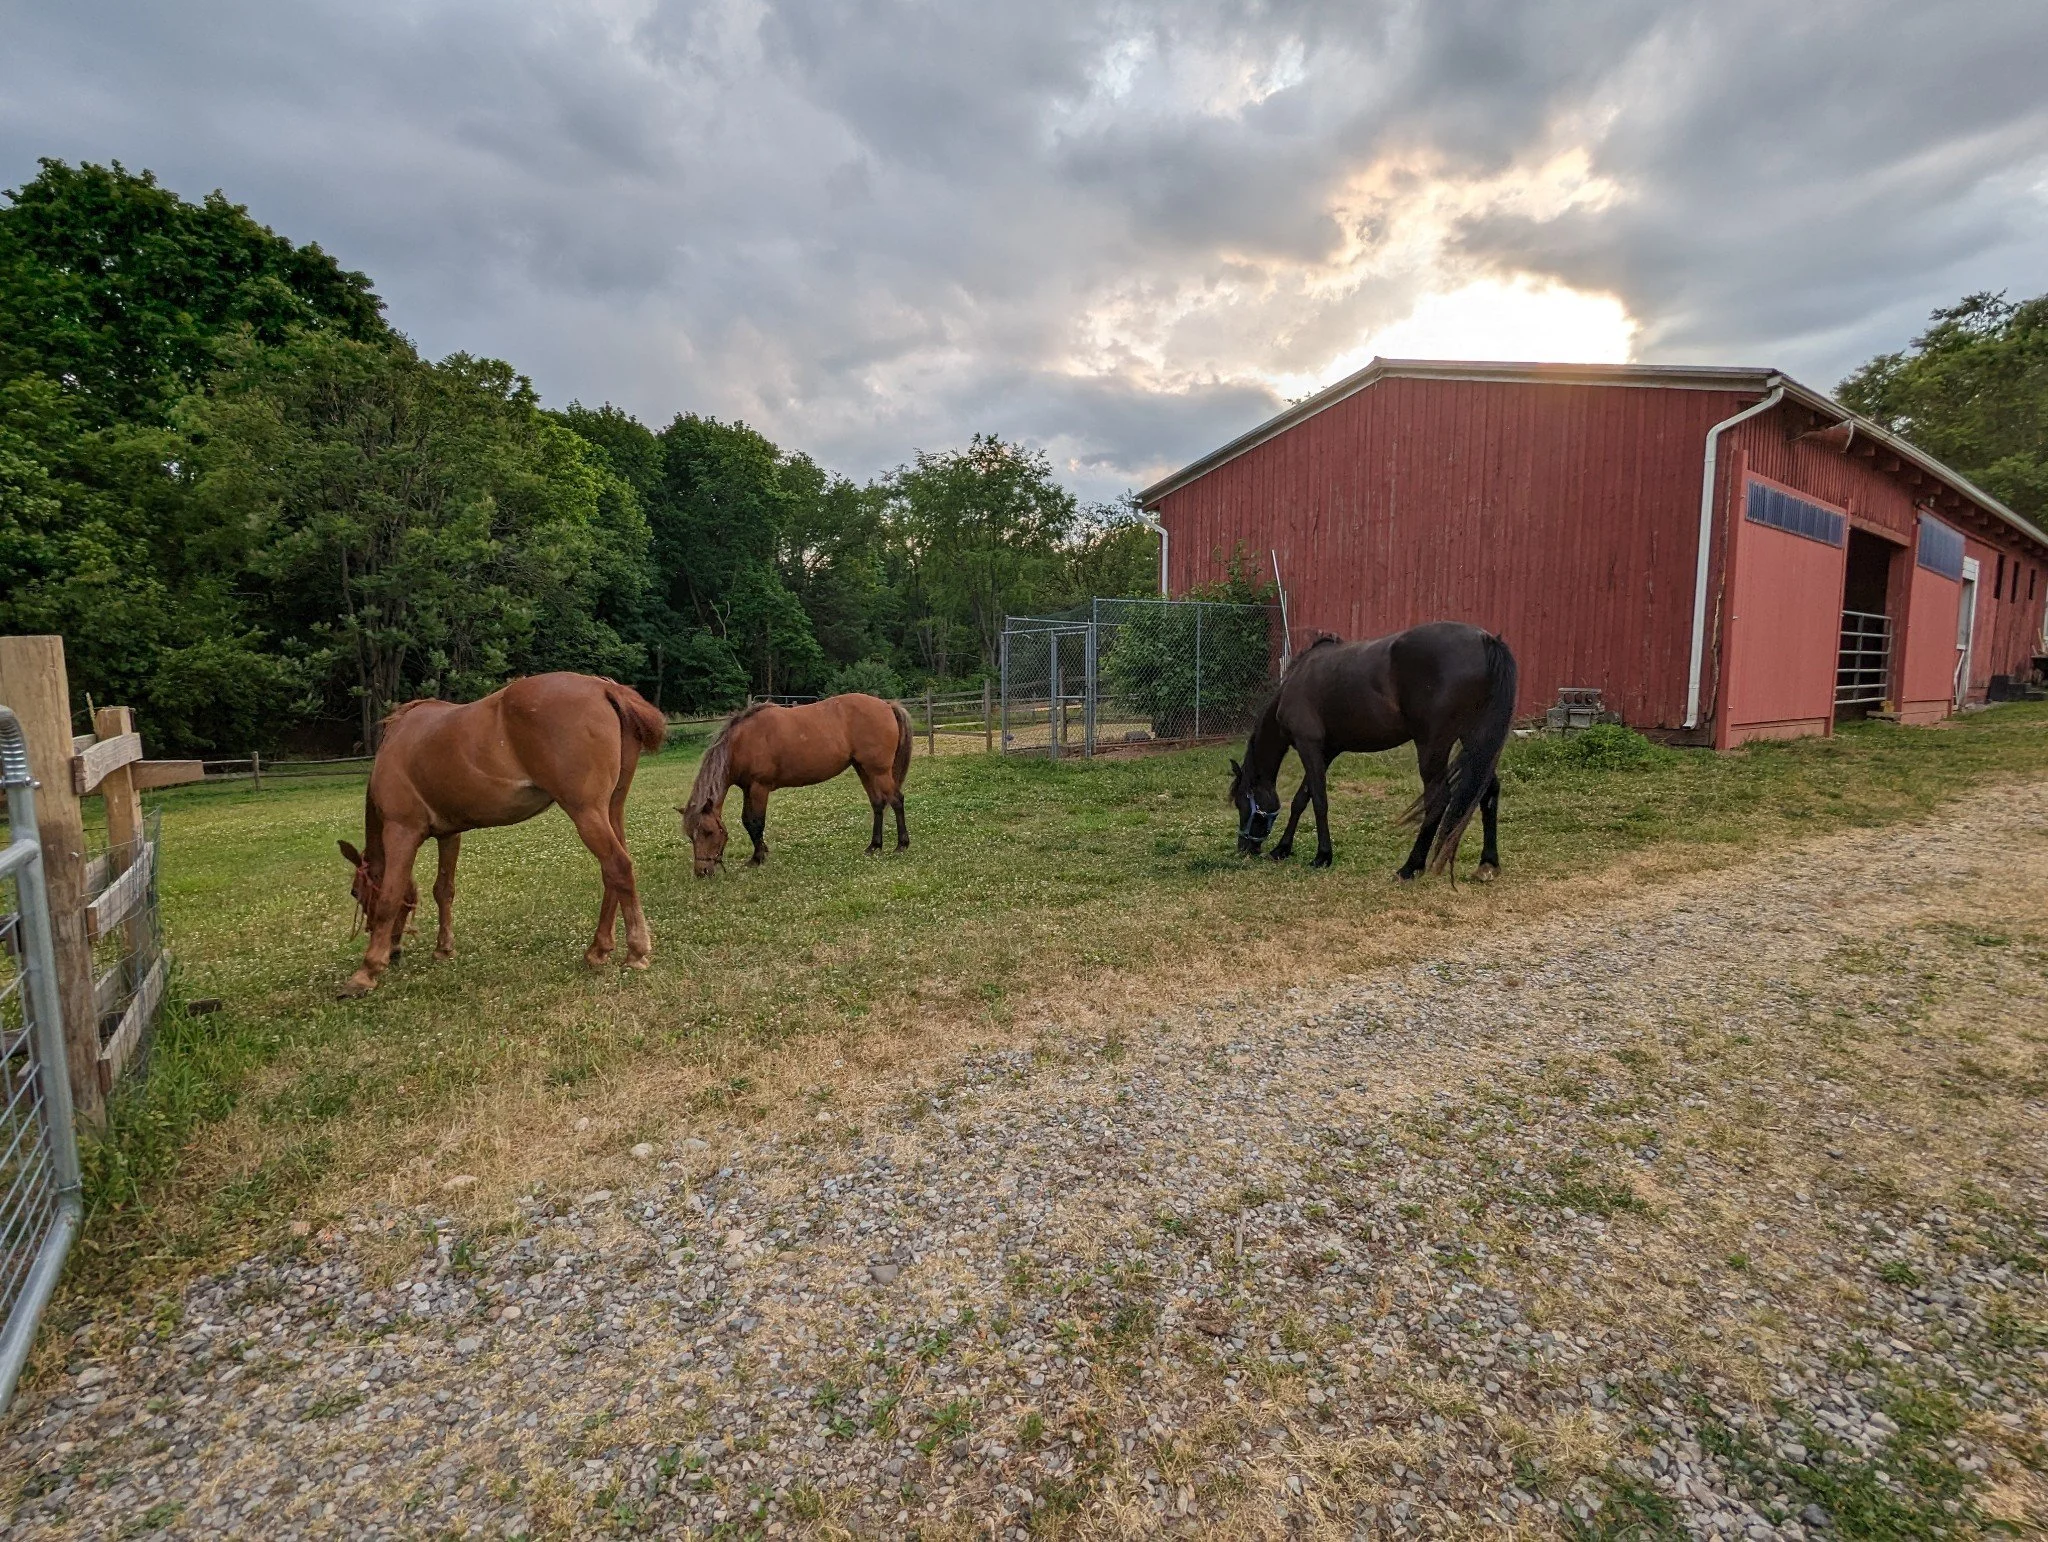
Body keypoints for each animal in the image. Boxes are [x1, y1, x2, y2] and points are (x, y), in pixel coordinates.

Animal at [336, 672, 667, 997]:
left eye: (355, 892)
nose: (393, 951)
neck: (397, 742)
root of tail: (604, 688)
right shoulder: (449, 834)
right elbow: (443, 890)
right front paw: (443, 949)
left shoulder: (401, 831)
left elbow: (390, 898)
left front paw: (366, 971)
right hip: (611, 808)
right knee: (613, 873)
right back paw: (599, 949)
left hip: (586, 812)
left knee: (618, 866)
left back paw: (636, 951)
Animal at [679, 693, 912, 876]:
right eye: (691, 836)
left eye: (708, 832)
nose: (702, 872)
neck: (741, 743)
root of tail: (886, 705)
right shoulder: (748, 789)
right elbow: (747, 822)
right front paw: (760, 853)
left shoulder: (759, 788)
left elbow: (756, 822)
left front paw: (758, 858)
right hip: (864, 769)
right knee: (878, 803)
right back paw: (874, 846)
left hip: (878, 771)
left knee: (896, 800)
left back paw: (901, 845)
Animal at [1228, 621, 1518, 878]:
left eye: (1243, 801)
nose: (1245, 847)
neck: (1294, 682)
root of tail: (1486, 640)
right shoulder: (1326, 751)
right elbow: (1302, 799)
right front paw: (1282, 849)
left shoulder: (1307, 745)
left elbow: (1319, 801)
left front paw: (1322, 856)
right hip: (1475, 742)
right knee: (1488, 790)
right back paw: (1488, 864)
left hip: (1433, 745)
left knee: (1439, 798)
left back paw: (1410, 867)